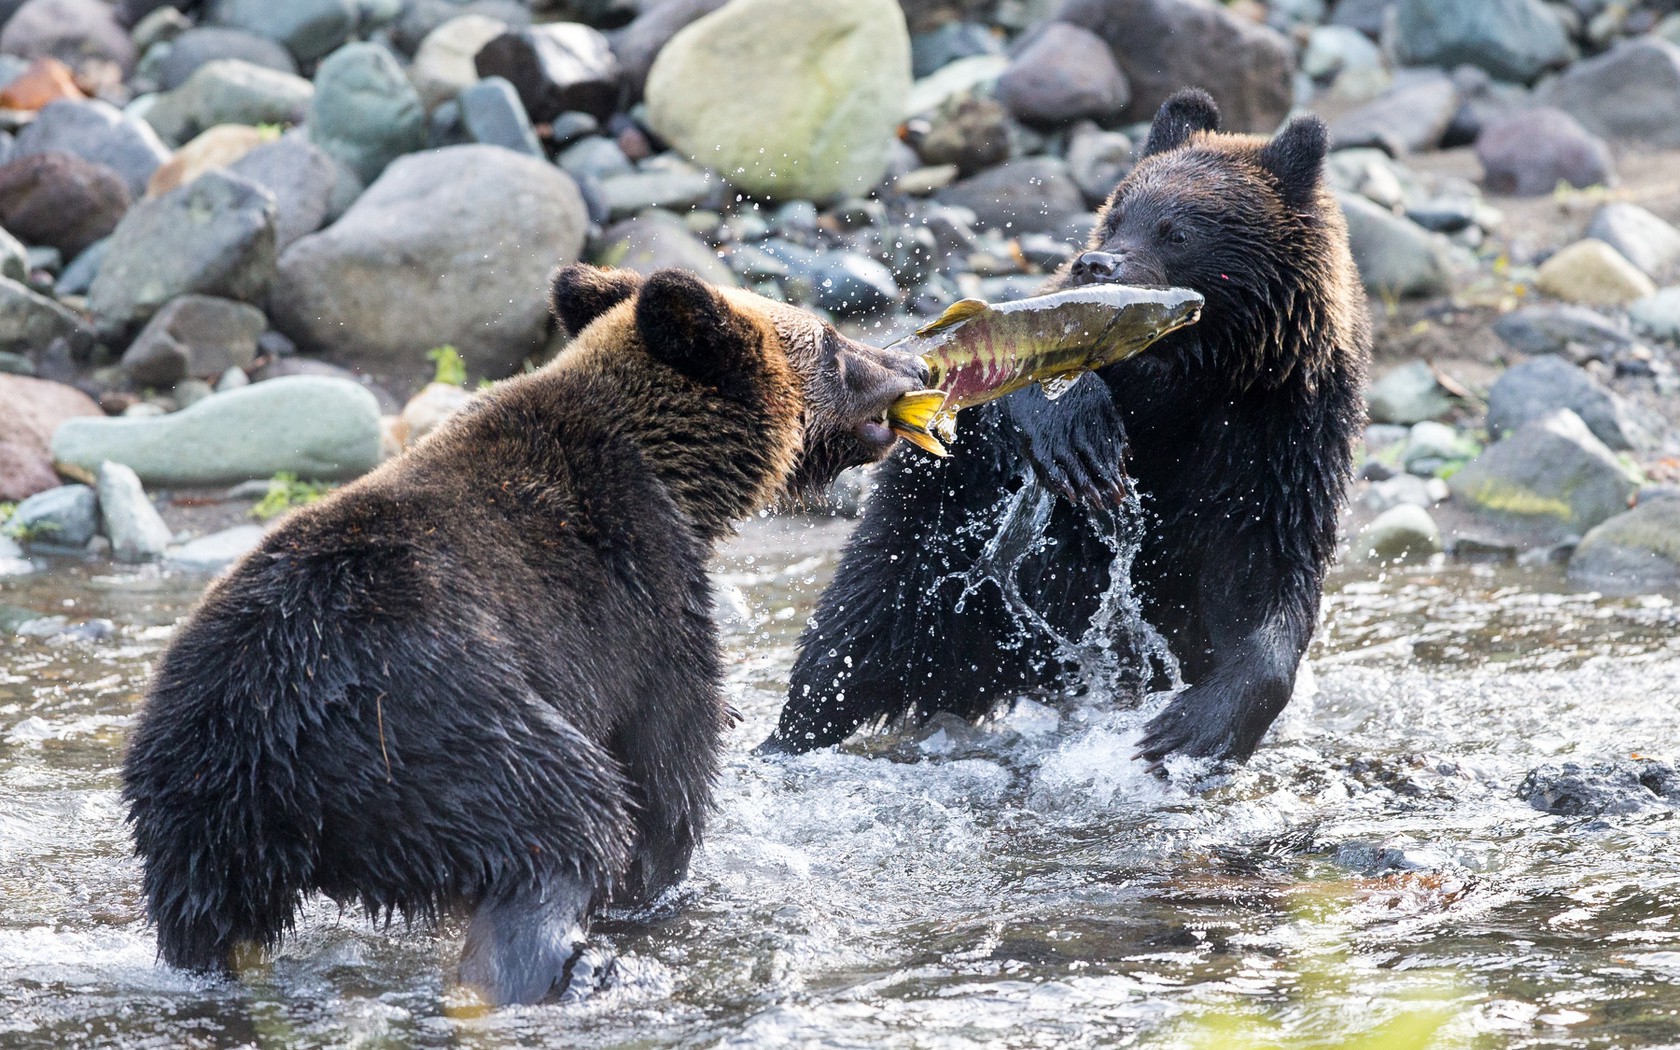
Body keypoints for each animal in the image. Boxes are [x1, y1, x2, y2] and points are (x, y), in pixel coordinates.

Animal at [120, 265, 927, 1006]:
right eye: (832, 343)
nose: (916, 367)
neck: (676, 476)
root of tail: (267, 742)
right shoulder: (643, 604)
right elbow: (669, 762)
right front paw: (659, 883)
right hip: (441, 729)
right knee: (567, 823)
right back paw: (568, 965)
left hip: (192, 815)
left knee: (203, 924)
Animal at [759, 90, 1371, 771]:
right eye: (1117, 213)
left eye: (1178, 231)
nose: (1095, 262)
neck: (1197, 373)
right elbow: (1016, 371)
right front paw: (1081, 437)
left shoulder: (1282, 434)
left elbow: (1265, 574)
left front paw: (1189, 728)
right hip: (932, 546)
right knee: (859, 631)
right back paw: (784, 738)